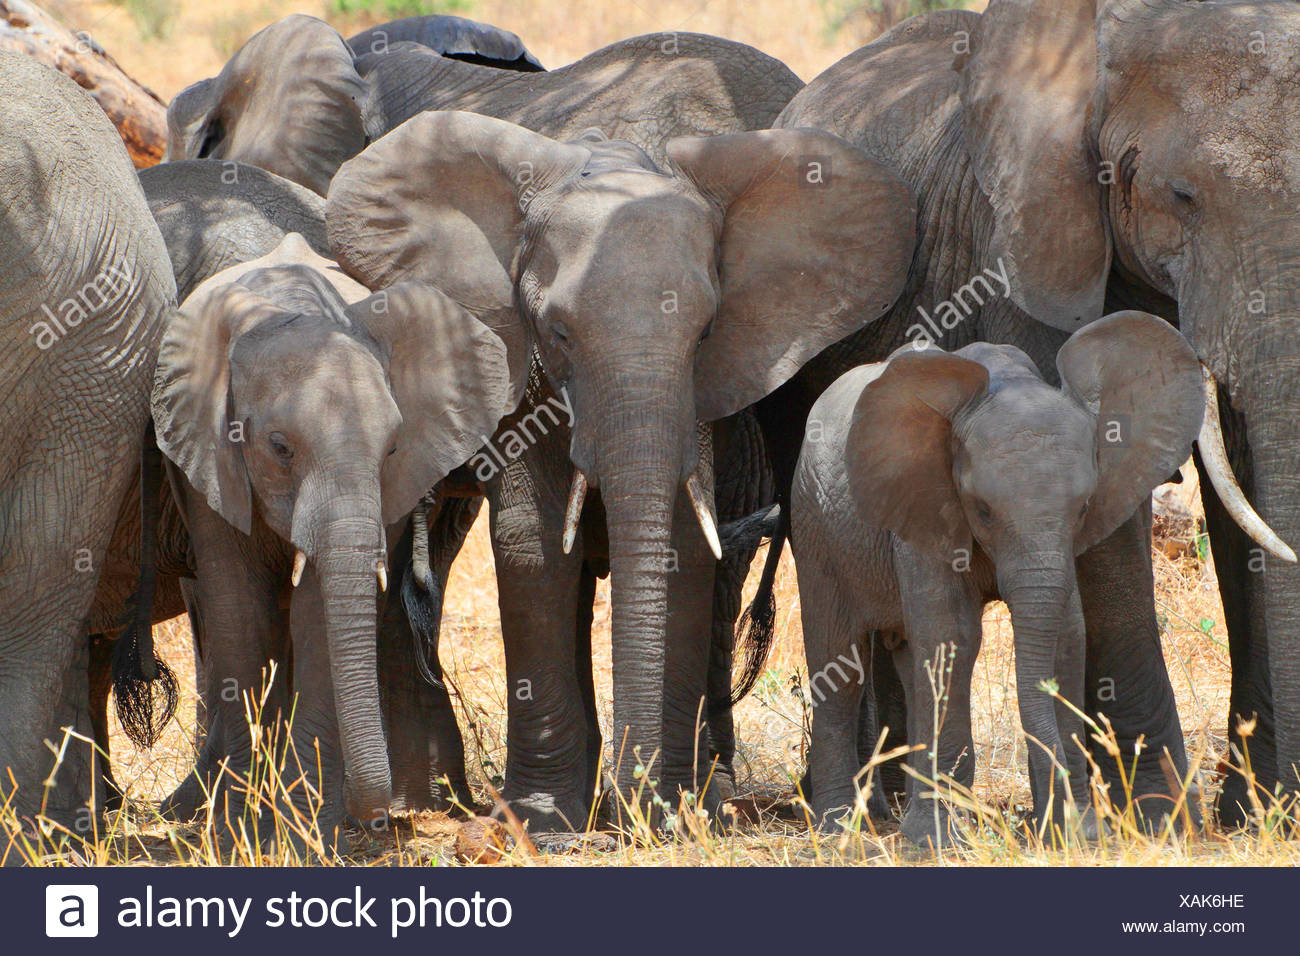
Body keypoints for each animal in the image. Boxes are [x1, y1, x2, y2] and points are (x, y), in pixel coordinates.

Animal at [149, 231, 515, 844]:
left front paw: (303, 827)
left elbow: (317, 613)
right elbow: (241, 609)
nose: (377, 815)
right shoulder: (207, 453)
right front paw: (239, 826)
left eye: (392, 448)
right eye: (279, 447)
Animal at [324, 100, 917, 831]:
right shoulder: (522, 366)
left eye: (706, 330)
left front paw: (676, 810)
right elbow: (533, 544)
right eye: (558, 332)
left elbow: (685, 542)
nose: (639, 803)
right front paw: (546, 822)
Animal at [794, 312, 1204, 846]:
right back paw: (838, 831)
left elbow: (1066, 635)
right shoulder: (924, 504)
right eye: (983, 510)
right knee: (839, 664)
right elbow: (953, 635)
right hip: (813, 523)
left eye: (1084, 508)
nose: (1073, 820)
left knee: (910, 660)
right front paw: (936, 844)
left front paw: (1073, 832)